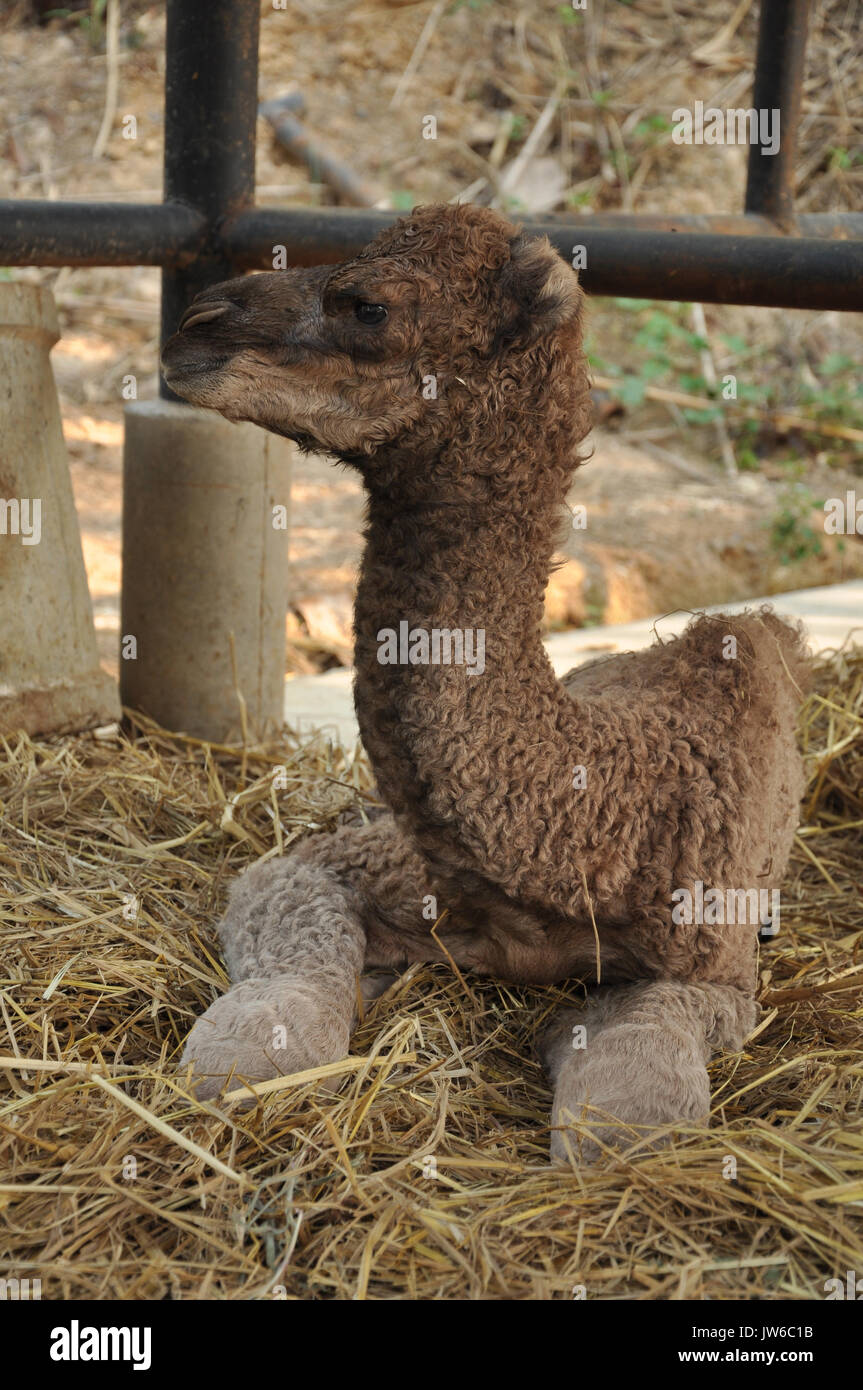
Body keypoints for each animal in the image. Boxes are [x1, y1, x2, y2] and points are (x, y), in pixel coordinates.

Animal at [160, 203, 809, 1160]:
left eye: (369, 304)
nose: (193, 326)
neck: (603, 820)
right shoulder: (348, 863)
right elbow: (263, 1017)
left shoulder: (716, 968)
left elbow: (629, 1102)